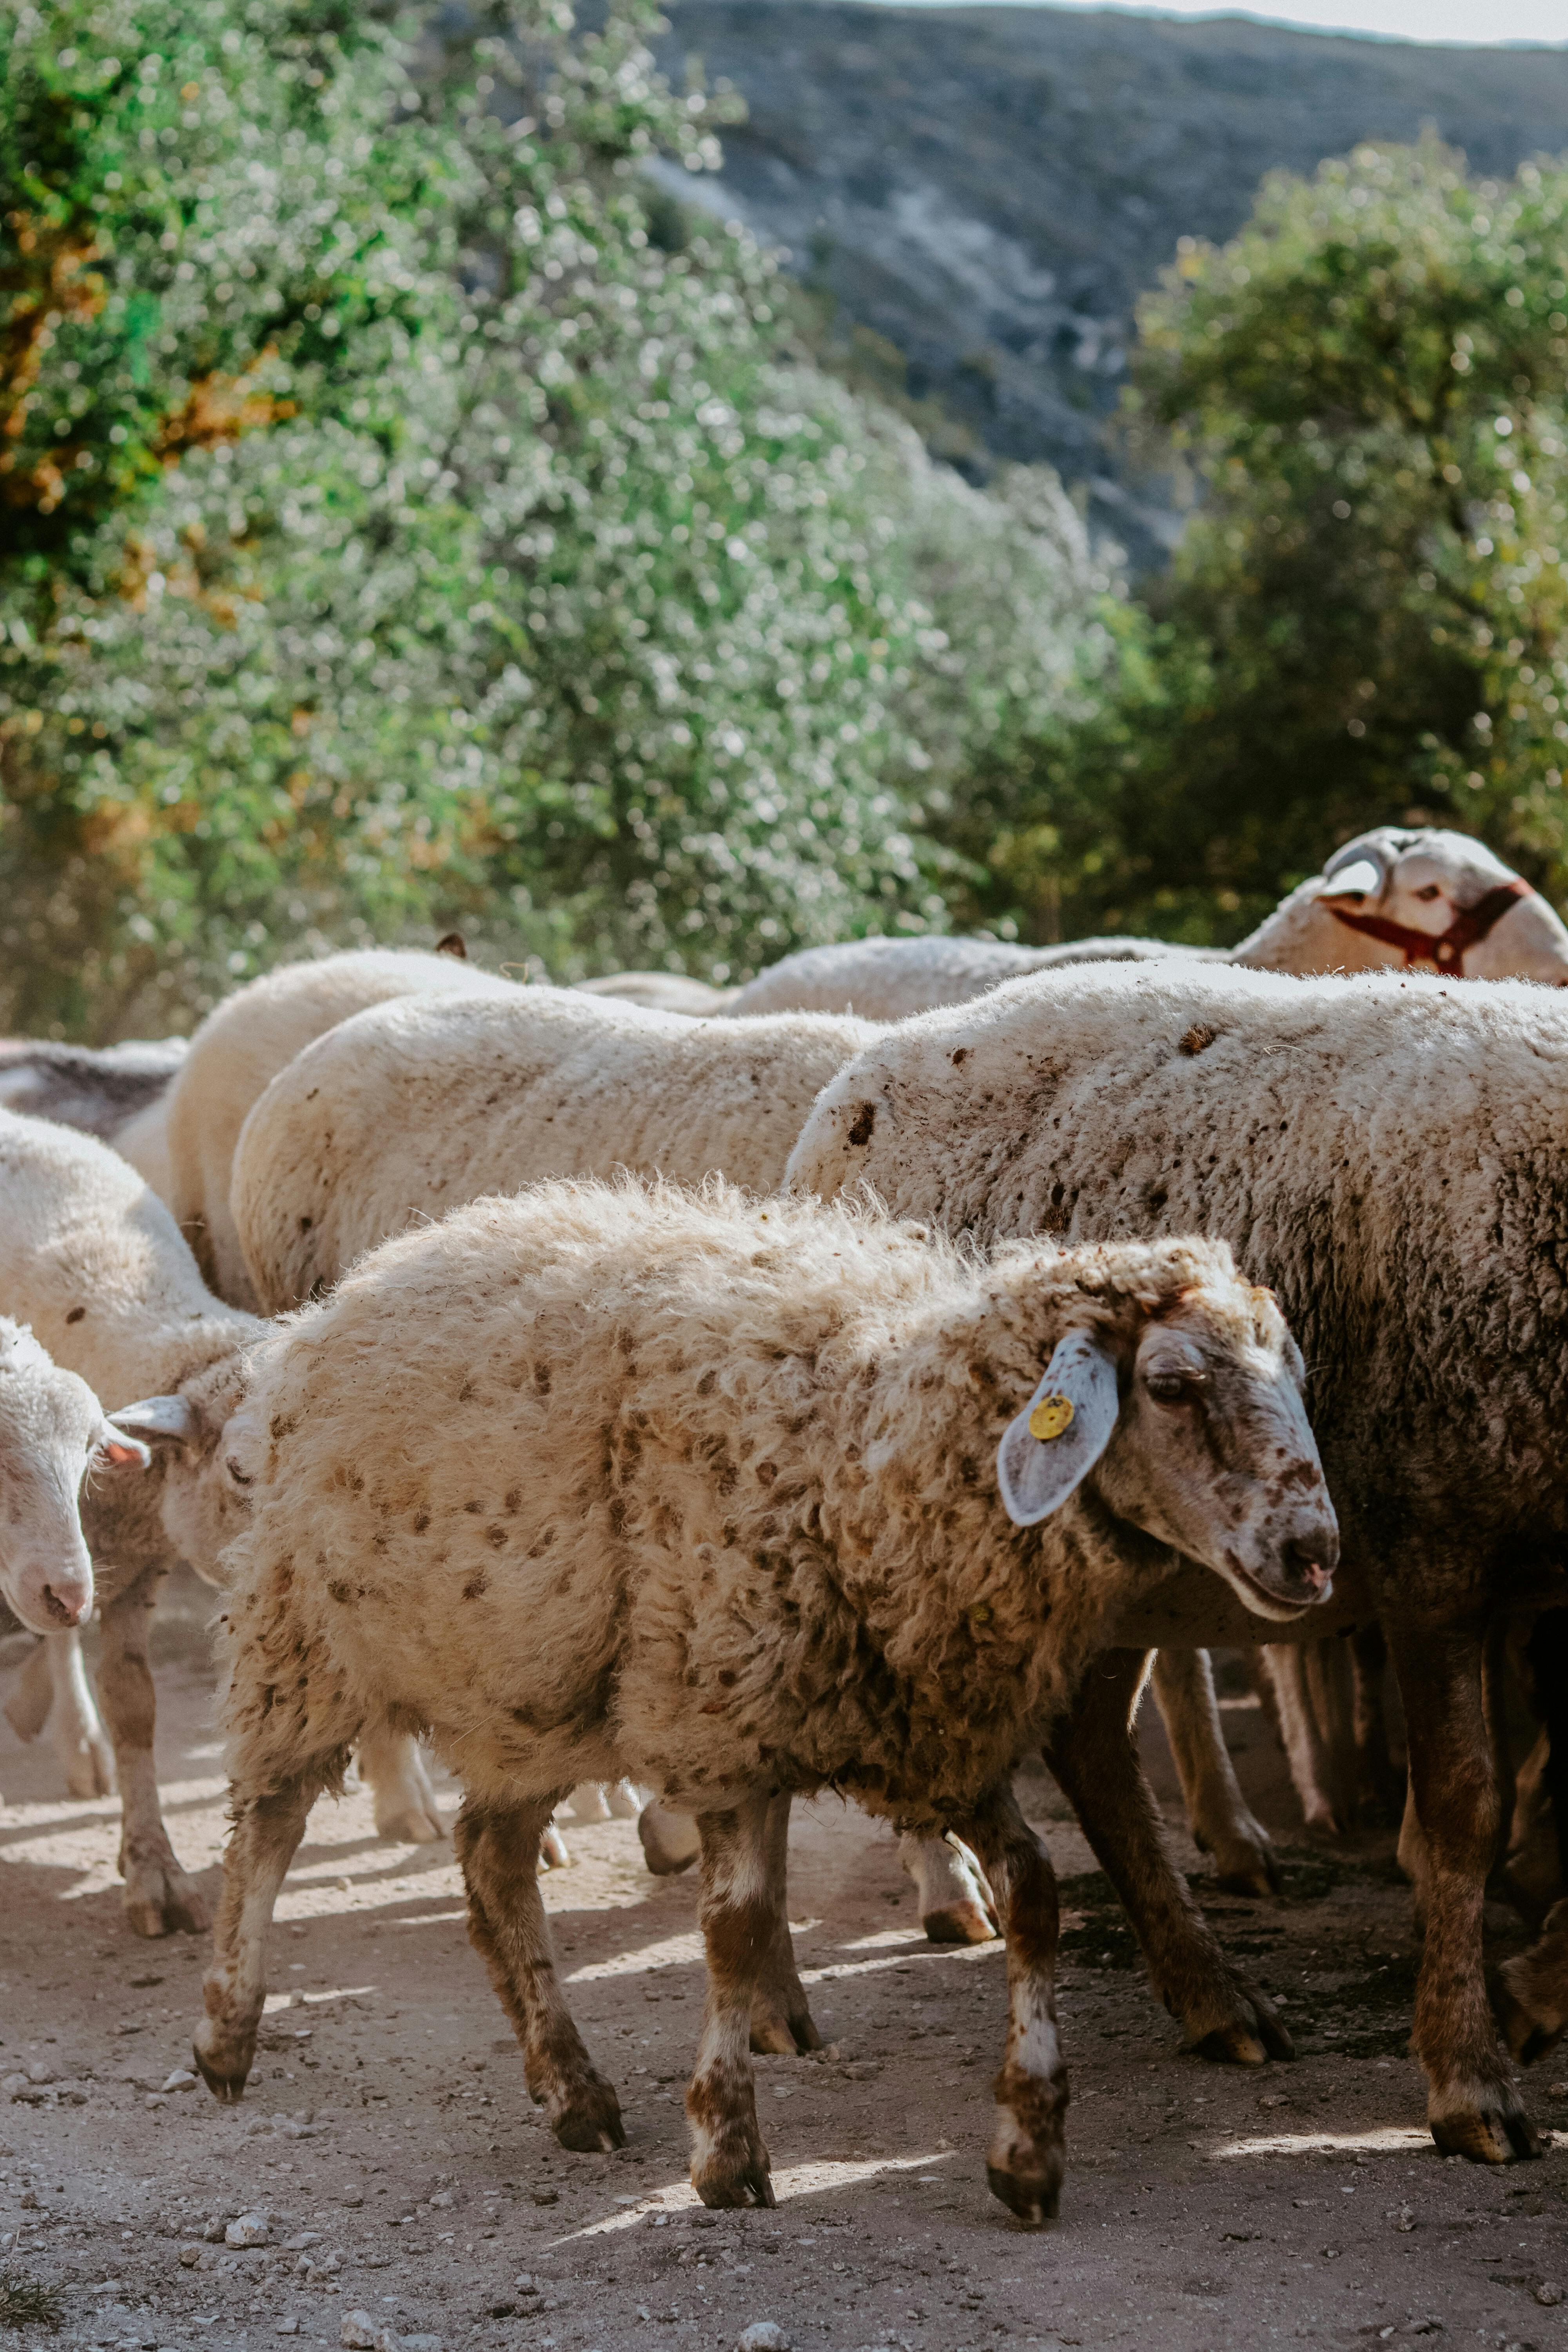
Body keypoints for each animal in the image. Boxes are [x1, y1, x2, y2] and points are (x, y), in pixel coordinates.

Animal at [193, 1177, 1337, 2220]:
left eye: (1293, 1372)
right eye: (1173, 1383)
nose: (1315, 1552)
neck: (864, 1451)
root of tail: (346, 1297)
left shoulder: (936, 1723)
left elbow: (1036, 1894)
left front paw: (1027, 2144)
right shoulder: (725, 1722)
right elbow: (736, 1932)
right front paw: (728, 2149)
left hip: (532, 1693)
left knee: (492, 1860)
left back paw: (572, 2090)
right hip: (310, 1642)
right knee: (268, 1825)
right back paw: (226, 2036)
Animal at [784, 955, 1568, 2164]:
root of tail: (854, 1084)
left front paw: (1527, 1999)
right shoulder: (1435, 1551)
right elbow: (1463, 1810)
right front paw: (1471, 2076)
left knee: (1094, 1748)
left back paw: (1207, 1994)